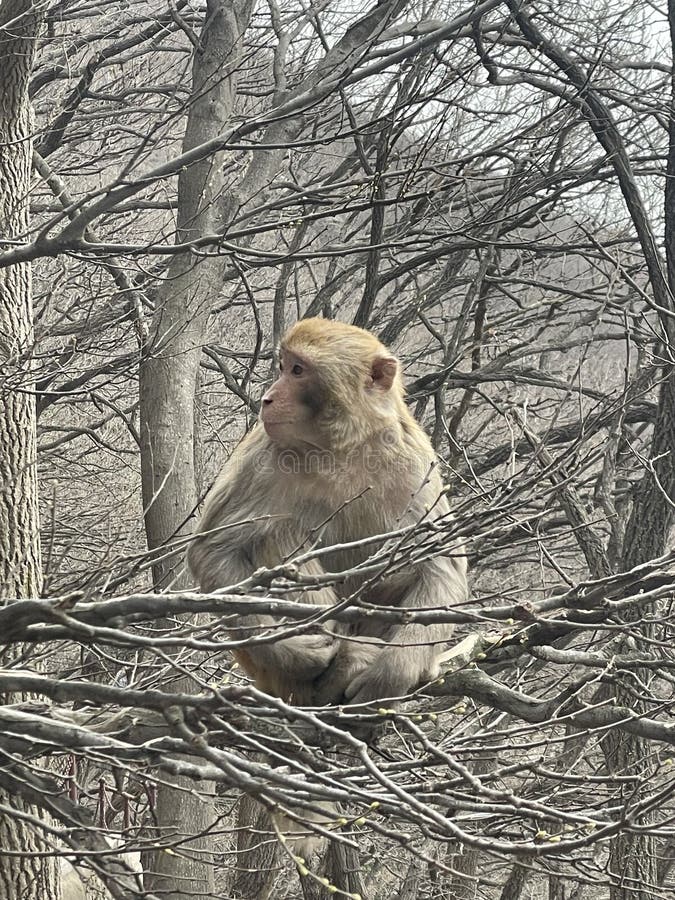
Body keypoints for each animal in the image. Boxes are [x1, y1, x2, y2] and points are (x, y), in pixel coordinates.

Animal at [188, 317, 468, 709]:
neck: (340, 446)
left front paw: (394, 670)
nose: (268, 398)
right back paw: (334, 671)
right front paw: (291, 648)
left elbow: (438, 565)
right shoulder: (263, 453)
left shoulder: (414, 459)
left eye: (298, 370)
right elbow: (213, 550)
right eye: (283, 366)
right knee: (279, 533)